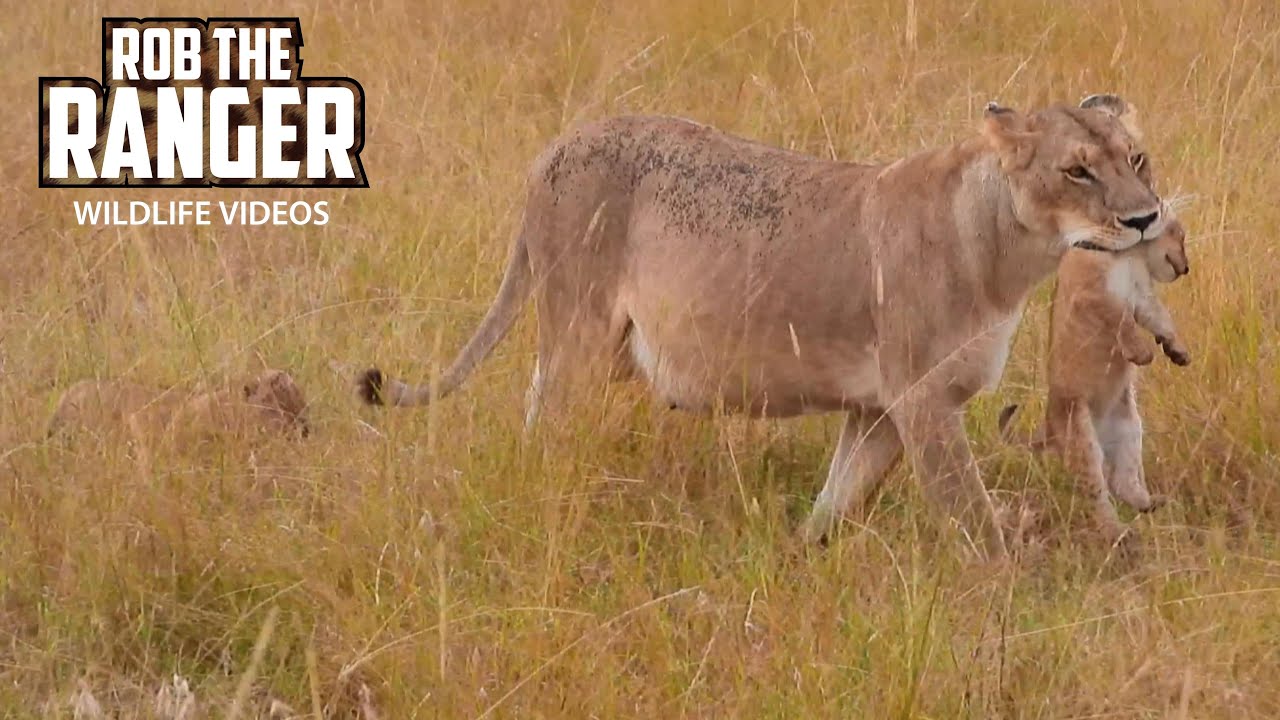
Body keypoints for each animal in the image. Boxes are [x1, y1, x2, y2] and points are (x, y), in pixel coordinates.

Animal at [354, 94, 1168, 560]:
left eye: (1137, 157)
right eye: (1077, 171)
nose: (1145, 218)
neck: (1010, 252)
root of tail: (556, 145)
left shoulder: (879, 409)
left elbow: (837, 498)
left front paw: (801, 558)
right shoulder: (923, 400)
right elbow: (972, 516)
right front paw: (1015, 591)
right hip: (577, 330)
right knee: (544, 421)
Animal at [997, 217, 1191, 544]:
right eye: (1181, 237)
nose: (1187, 268)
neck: (1127, 254)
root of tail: (1048, 428)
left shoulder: (1142, 295)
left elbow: (1160, 317)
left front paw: (1178, 351)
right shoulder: (1091, 296)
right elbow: (1120, 317)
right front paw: (1142, 353)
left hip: (1129, 427)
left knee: (1121, 481)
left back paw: (1152, 503)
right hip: (1080, 432)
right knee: (1097, 490)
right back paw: (1119, 533)